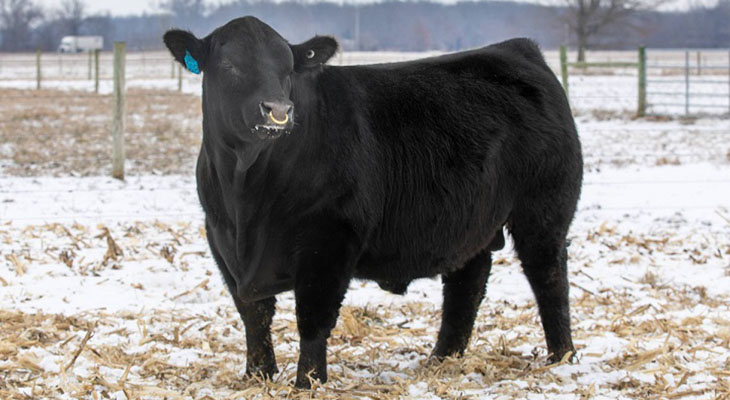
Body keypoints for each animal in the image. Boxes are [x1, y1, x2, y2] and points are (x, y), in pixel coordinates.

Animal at [164, 16, 583, 389]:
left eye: (287, 69)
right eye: (229, 65)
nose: (278, 111)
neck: (244, 191)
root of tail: (516, 48)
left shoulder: (328, 240)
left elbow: (312, 317)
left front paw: (308, 382)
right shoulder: (221, 240)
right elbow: (254, 315)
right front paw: (256, 375)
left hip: (543, 211)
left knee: (549, 277)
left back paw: (561, 357)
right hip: (472, 221)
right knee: (467, 284)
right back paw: (441, 360)